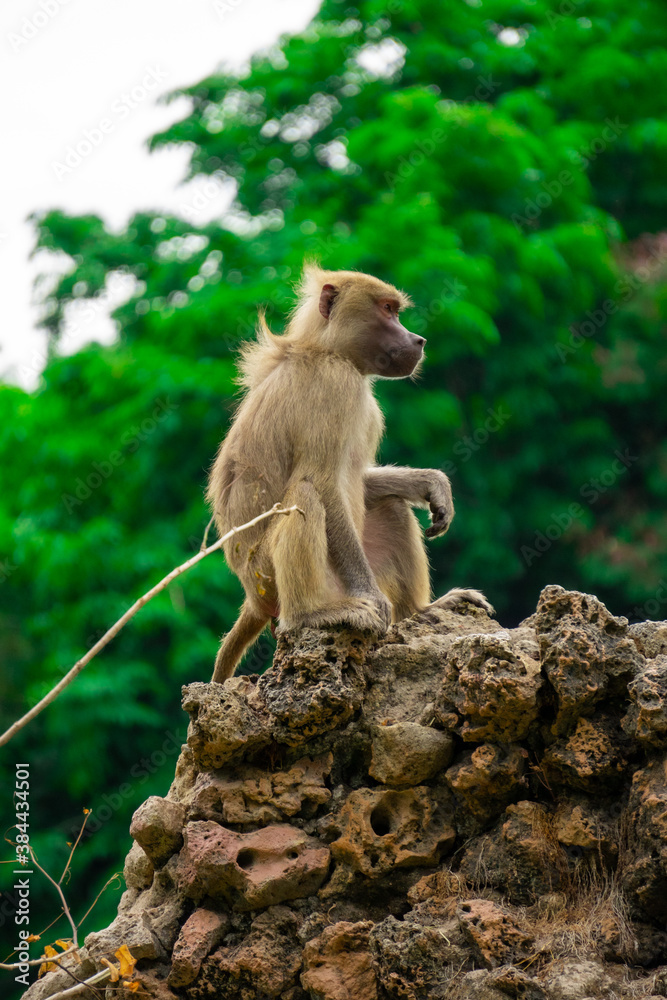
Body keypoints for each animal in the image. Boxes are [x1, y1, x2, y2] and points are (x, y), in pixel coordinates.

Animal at [206, 264, 493, 682]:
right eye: (388, 310)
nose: (418, 340)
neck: (325, 350)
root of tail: (251, 597)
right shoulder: (334, 386)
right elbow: (323, 482)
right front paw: (372, 598)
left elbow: (360, 480)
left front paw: (432, 485)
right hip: (270, 579)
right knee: (304, 496)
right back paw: (310, 614)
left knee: (390, 505)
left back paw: (423, 611)